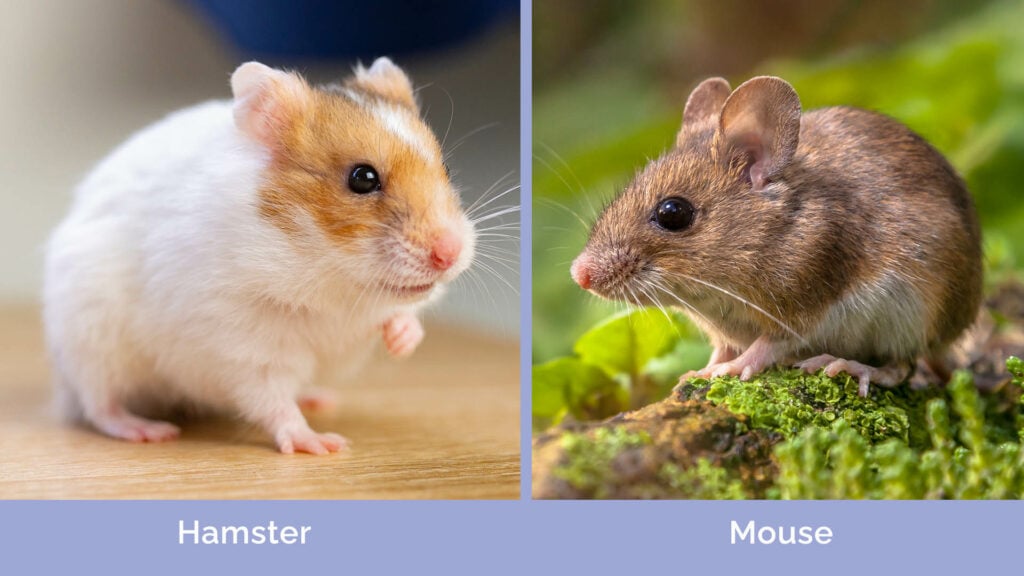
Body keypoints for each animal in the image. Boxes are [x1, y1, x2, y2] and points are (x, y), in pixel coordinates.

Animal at [43, 58, 475, 454]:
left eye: (447, 169)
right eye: (363, 178)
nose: (450, 253)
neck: (324, 275)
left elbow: (398, 314)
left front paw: (402, 340)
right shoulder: (241, 344)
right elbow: (270, 399)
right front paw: (322, 445)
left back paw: (320, 399)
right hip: (90, 339)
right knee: (98, 405)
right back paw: (149, 431)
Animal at [571, 76, 982, 396]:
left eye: (673, 213)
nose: (579, 274)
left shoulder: (802, 302)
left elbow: (766, 346)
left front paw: (732, 369)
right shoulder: (725, 330)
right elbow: (721, 350)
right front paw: (696, 373)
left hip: (915, 314)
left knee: (902, 368)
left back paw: (847, 365)